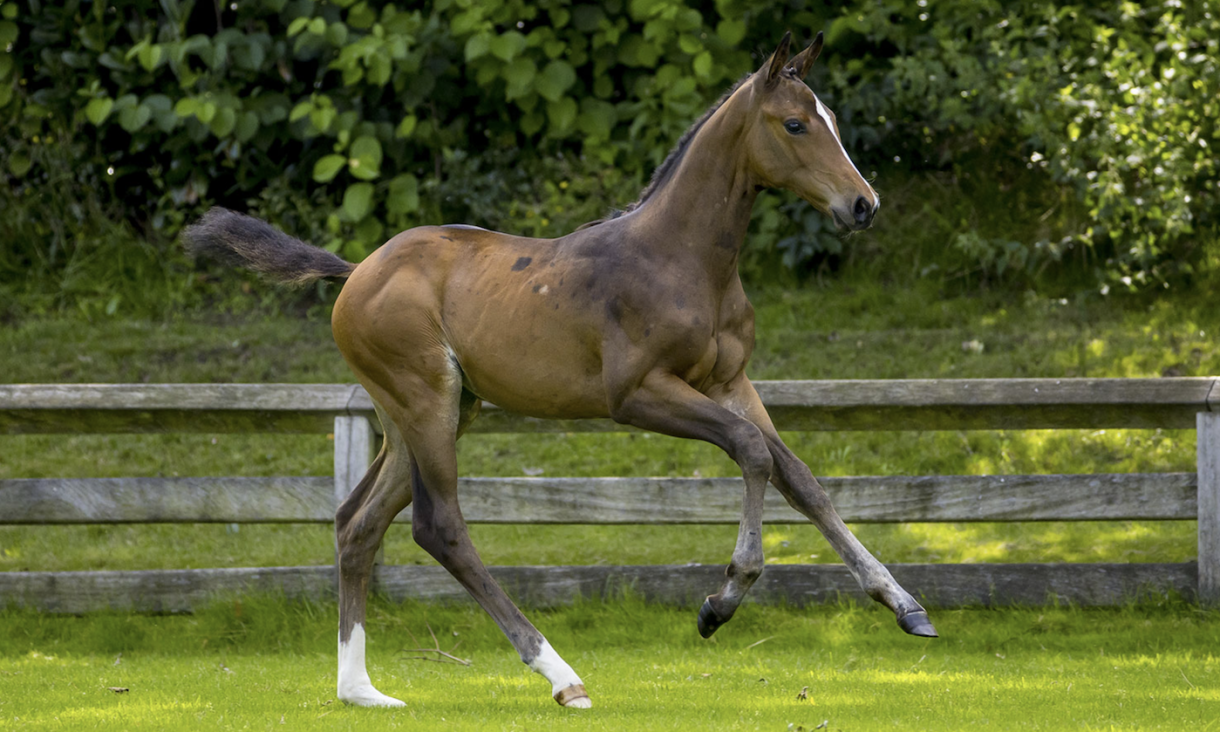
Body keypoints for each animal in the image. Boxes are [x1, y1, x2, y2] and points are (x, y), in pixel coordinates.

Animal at [184, 31, 937, 711]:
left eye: (828, 118)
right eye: (795, 123)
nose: (862, 205)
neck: (684, 259)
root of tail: (355, 273)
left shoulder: (731, 383)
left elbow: (801, 479)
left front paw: (905, 605)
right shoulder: (638, 395)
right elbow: (753, 453)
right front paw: (719, 603)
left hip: (434, 412)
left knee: (356, 523)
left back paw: (361, 691)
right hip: (425, 401)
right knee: (440, 527)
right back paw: (561, 677)